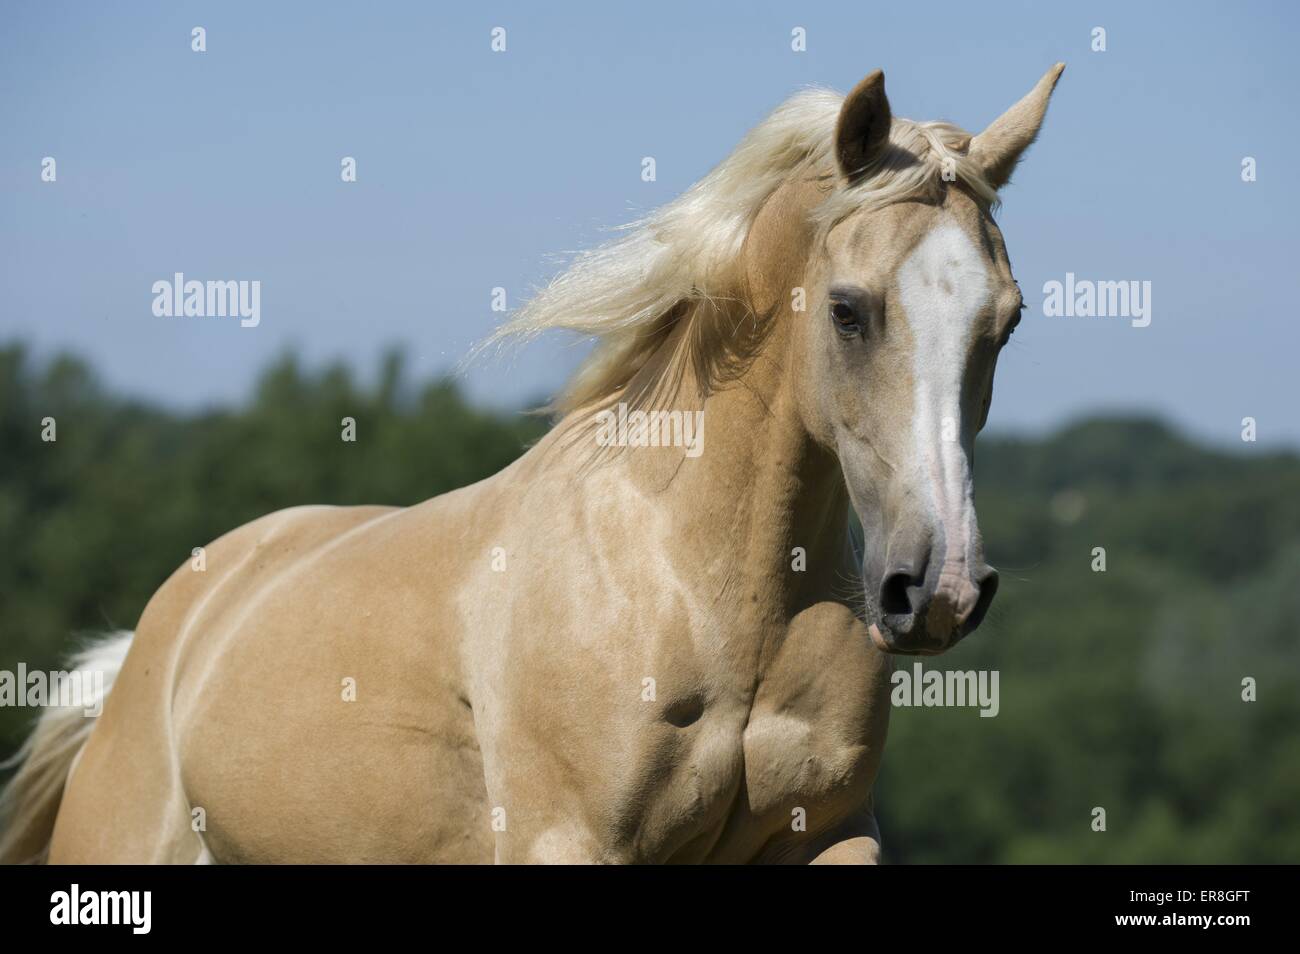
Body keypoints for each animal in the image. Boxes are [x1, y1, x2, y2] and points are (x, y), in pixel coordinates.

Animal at [0, 64, 1063, 864]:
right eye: (847, 309)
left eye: (1007, 323)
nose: (938, 589)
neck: (701, 584)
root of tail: (153, 647)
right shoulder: (570, 843)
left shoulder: (828, 838)